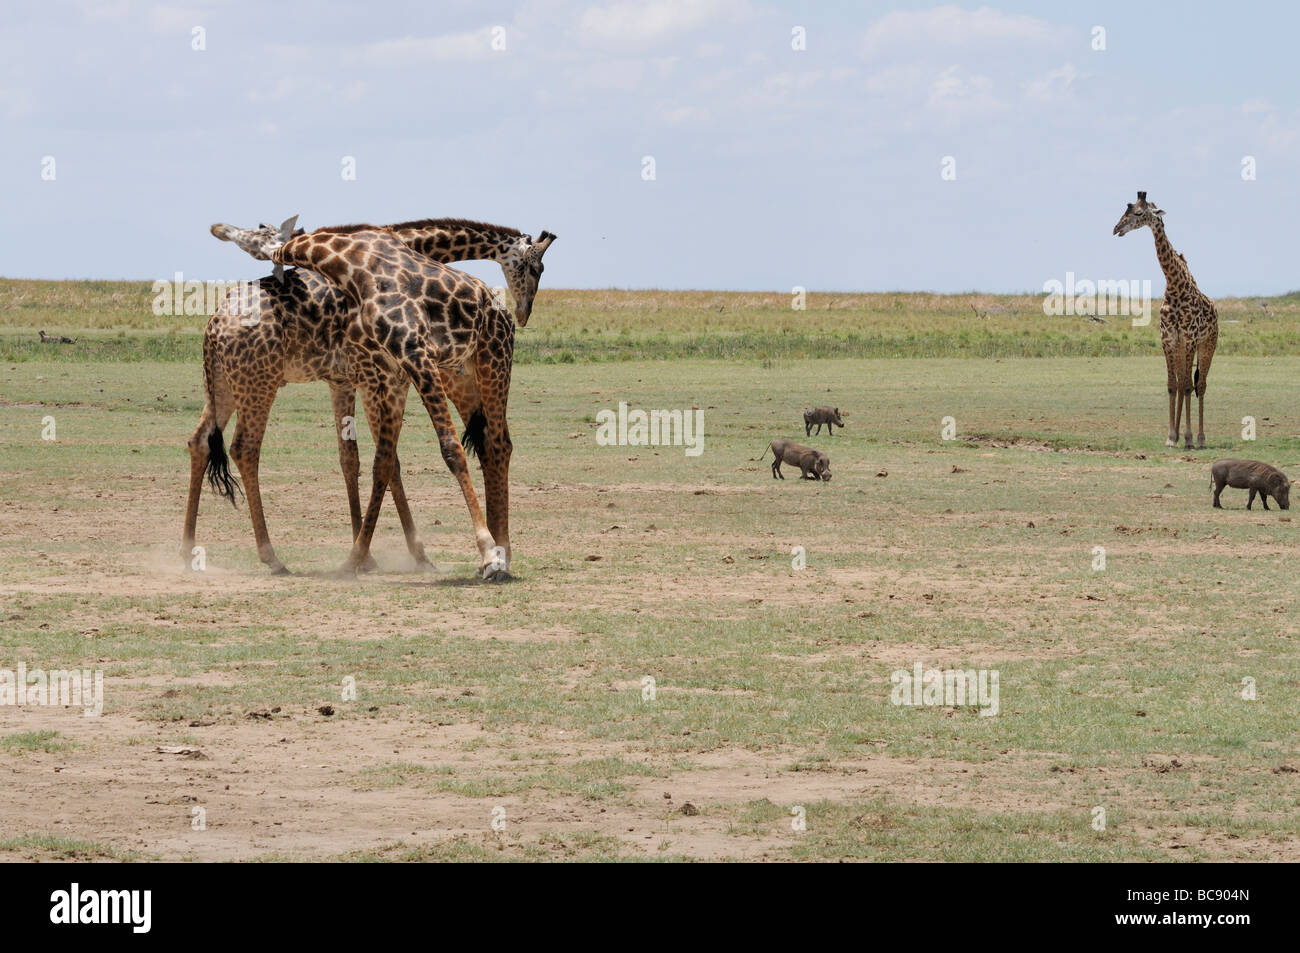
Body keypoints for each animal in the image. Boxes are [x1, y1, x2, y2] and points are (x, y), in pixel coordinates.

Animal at [184, 218, 555, 575]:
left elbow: (361, 460)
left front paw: (379, 555)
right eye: (535, 268)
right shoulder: (377, 376)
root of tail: (213, 325)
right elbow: (384, 462)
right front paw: (399, 555)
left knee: (200, 439)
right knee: (242, 448)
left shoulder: (357, 380)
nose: (523, 312)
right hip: (257, 381)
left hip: (227, 384)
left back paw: (190, 549)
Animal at [1113, 191, 1218, 449]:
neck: (1174, 284)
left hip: (1208, 343)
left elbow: (1189, 386)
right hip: (1182, 348)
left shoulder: (1190, 338)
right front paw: (1171, 437)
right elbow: (1173, 386)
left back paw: (1200, 439)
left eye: (1139, 213)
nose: (1116, 228)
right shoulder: (1169, 339)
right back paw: (1181, 435)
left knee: (1200, 385)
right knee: (1182, 384)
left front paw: (1188, 438)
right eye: (1125, 210)